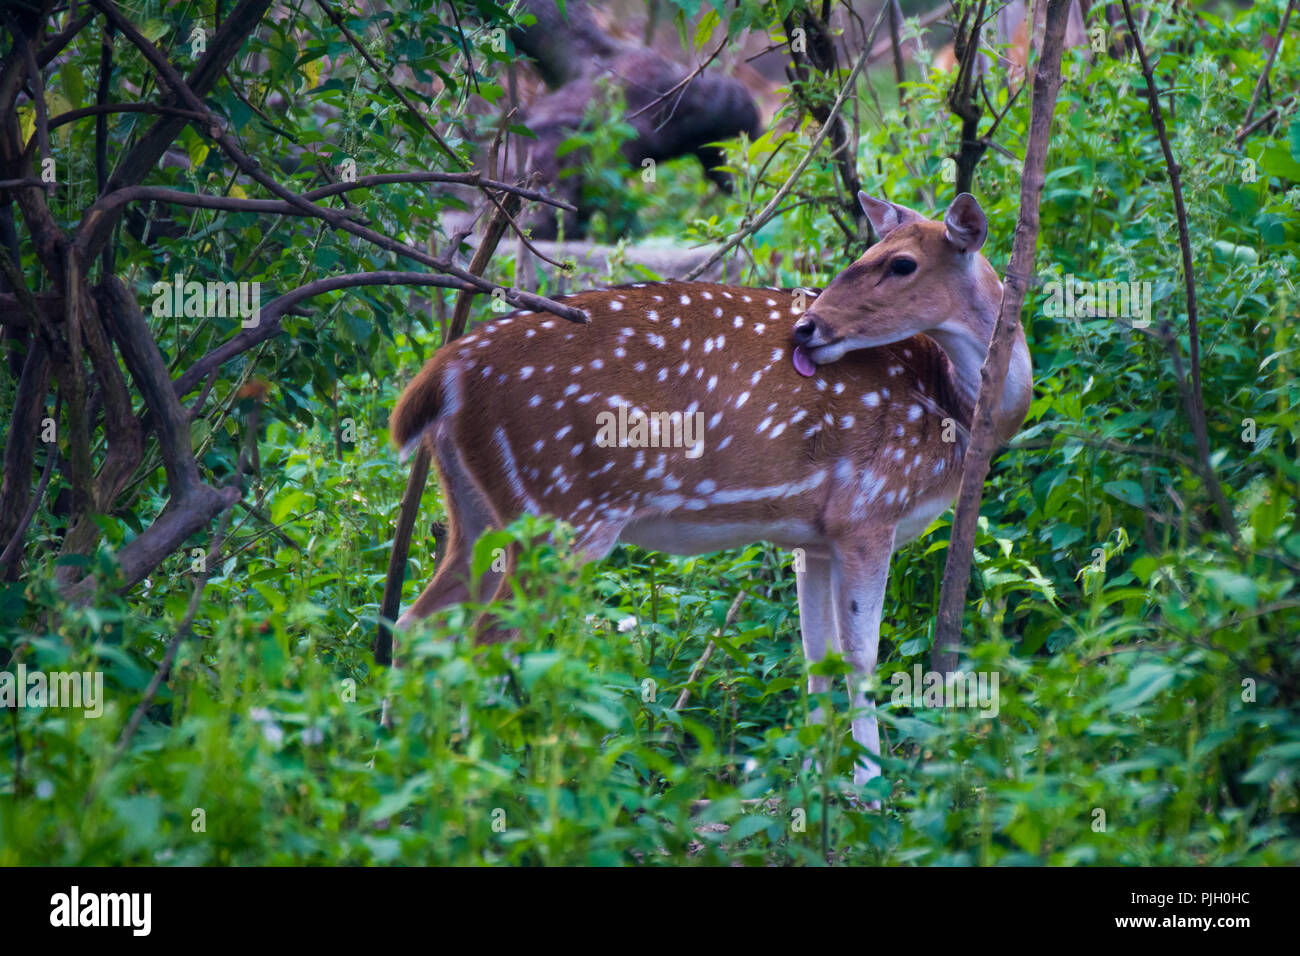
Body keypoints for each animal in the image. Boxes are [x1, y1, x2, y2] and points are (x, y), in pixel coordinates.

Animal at [388, 191, 1033, 794]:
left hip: (478, 513)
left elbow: (816, 653)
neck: (954, 409)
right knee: (483, 642)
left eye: (901, 263)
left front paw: (812, 779)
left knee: (417, 623)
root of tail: (442, 376)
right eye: (864, 257)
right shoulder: (868, 511)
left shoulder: (818, 536)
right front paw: (870, 789)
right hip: (558, 510)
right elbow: (862, 657)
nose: (806, 328)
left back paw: (403, 767)